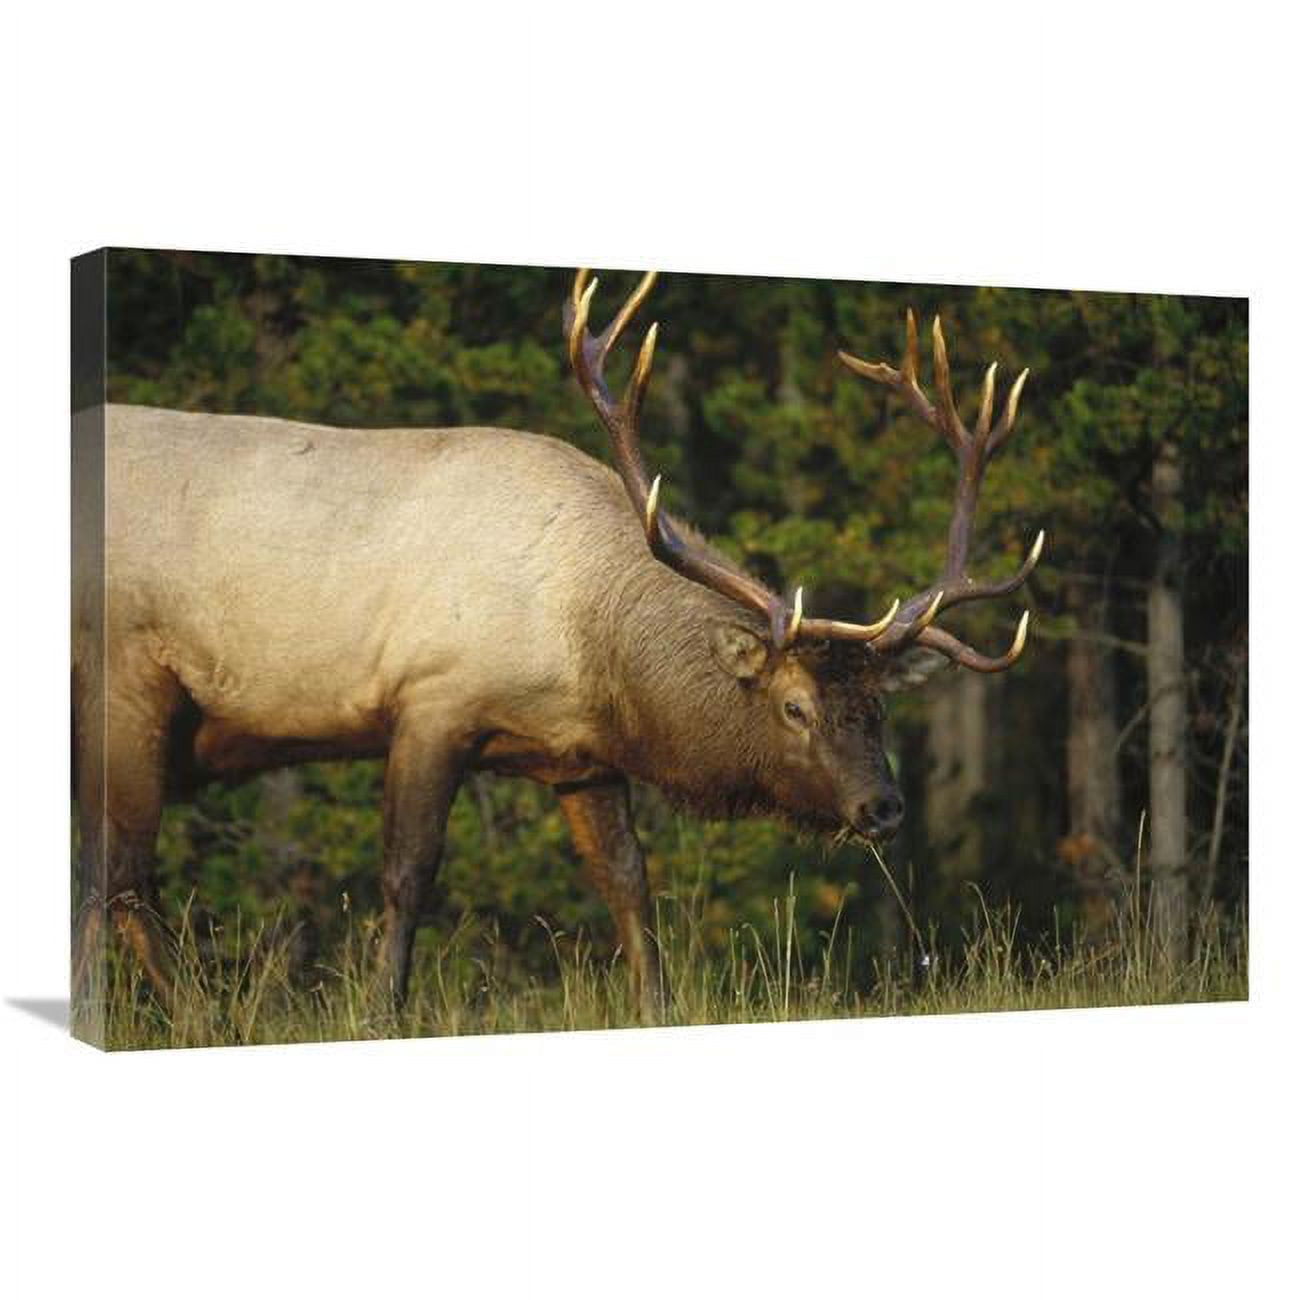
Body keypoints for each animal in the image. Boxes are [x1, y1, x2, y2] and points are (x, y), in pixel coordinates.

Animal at [71, 268, 1043, 1023]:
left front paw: (656, 1007)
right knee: (121, 876)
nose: (883, 806)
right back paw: (202, 1018)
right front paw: (382, 1011)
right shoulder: (431, 701)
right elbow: (406, 876)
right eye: (794, 705)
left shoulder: (580, 756)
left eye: (877, 705)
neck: (583, 640)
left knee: (101, 876)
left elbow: (629, 884)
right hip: (129, 675)